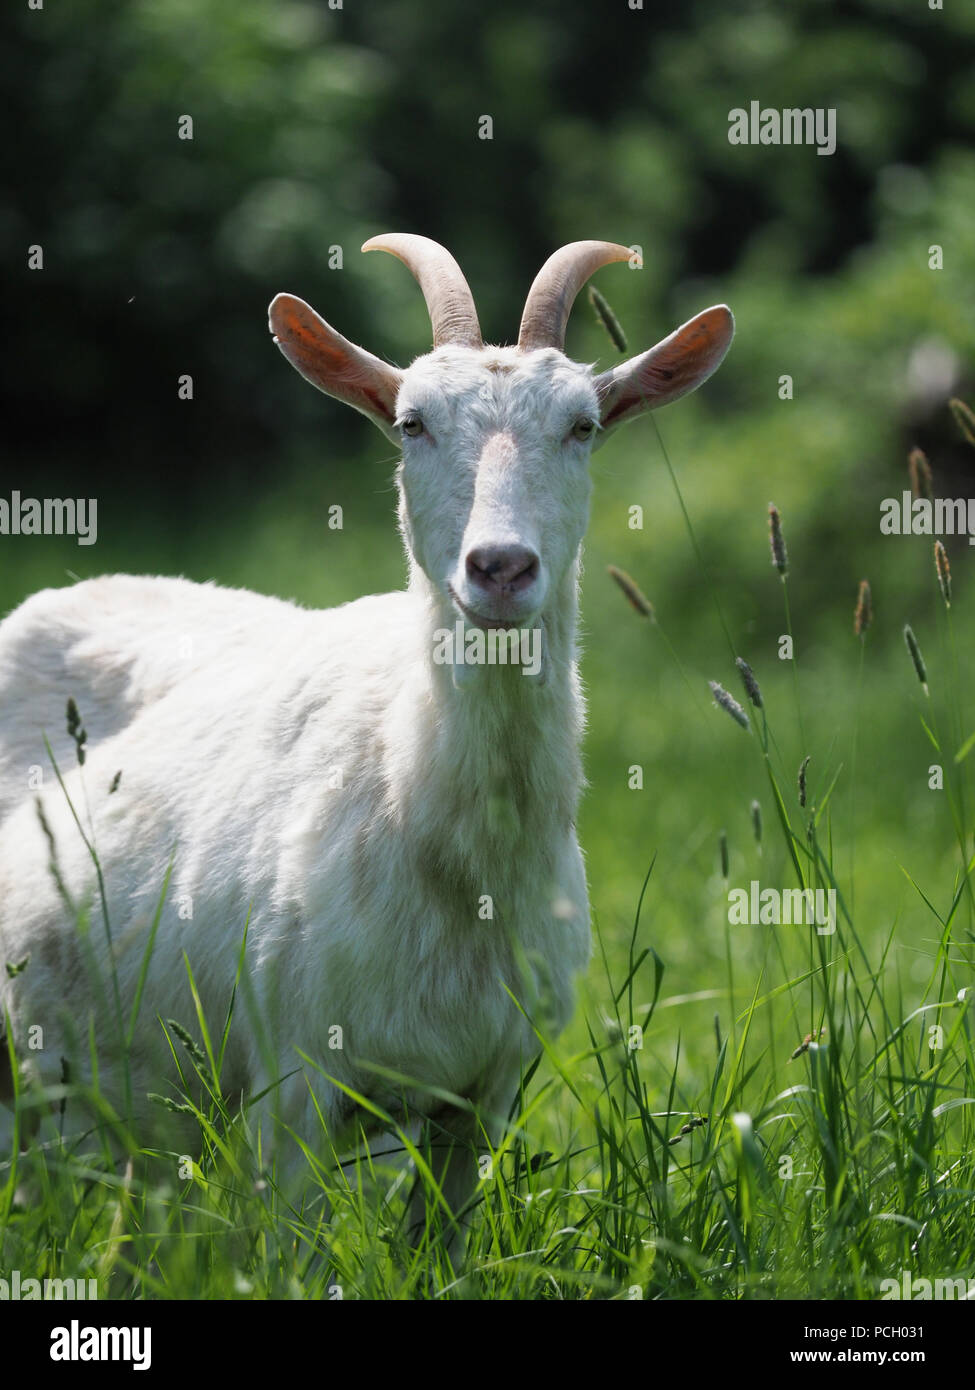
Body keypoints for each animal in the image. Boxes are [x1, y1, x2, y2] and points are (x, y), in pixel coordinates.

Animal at [0, 236, 733, 1245]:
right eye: (410, 422)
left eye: (582, 425)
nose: (499, 568)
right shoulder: (293, 1074)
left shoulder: (484, 1094)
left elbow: (447, 1245)